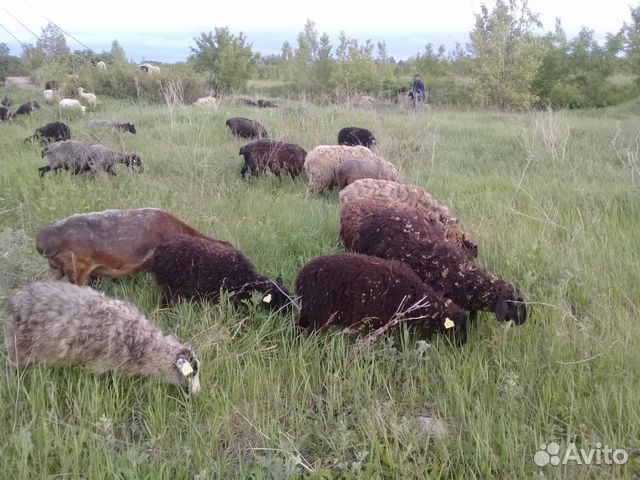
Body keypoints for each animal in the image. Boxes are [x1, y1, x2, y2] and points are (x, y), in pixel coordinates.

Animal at [295, 253, 467, 344]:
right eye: (456, 327)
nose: (463, 344)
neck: (416, 299)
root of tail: (301, 277)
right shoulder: (386, 322)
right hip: (319, 316)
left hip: (307, 312)